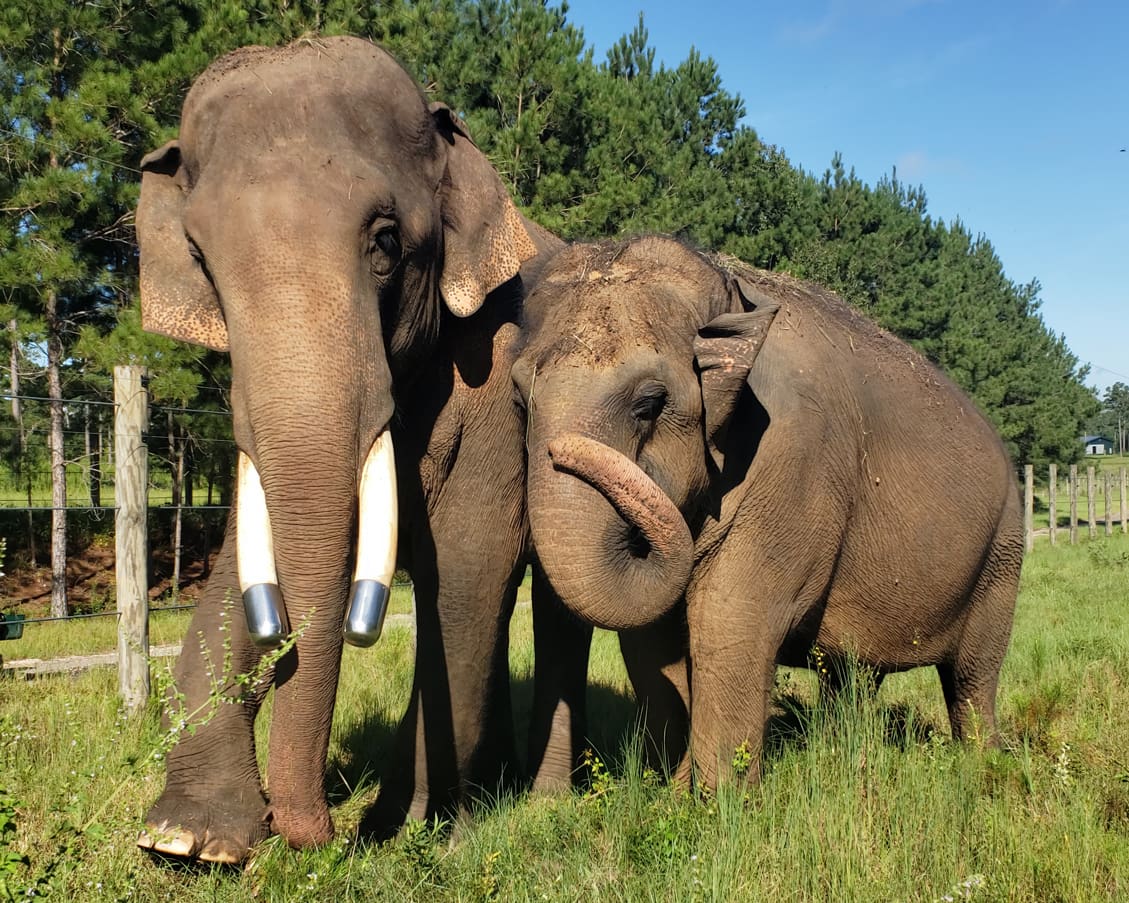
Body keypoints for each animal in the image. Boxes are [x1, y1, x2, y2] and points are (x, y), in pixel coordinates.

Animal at [131, 36, 581, 863]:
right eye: (202, 260)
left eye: (385, 243)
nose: (313, 829)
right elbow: (249, 545)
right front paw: (186, 839)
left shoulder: (498, 372)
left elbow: (466, 569)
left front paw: (396, 830)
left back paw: (532, 800)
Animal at [513, 235, 1023, 789]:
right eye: (519, 400)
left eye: (648, 403)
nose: (562, 450)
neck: (727, 291)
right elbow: (653, 639)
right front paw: (672, 790)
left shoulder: (794, 455)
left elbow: (729, 617)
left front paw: (717, 800)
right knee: (853, 672)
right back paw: (841, 752)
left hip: (1003, 553)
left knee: (973, 672)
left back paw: (983, 761)